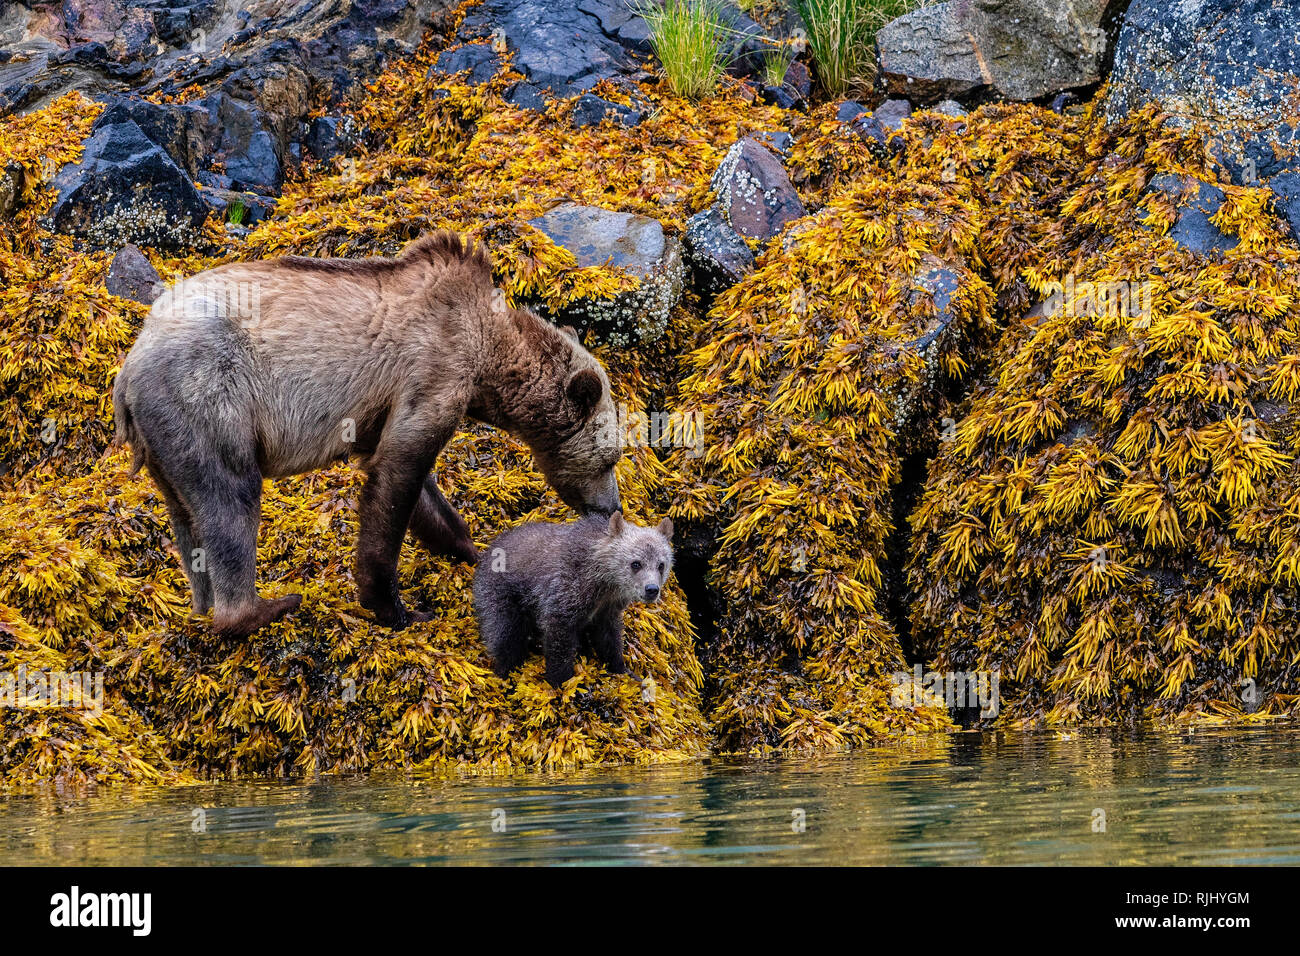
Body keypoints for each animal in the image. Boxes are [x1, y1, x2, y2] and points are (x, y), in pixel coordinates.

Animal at [112, 231, 623, 638]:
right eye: (612, 457)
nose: (610, 507)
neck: (488, 354)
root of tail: (128, 370)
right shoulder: (432, 370)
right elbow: (397, 476)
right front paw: (397, 607)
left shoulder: (387, 411)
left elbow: (420, 492)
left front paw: (474, 550)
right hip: (209, 400)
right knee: (230, 499)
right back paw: (267, 606)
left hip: (165, 444)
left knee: (188, 520)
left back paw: (200, 605)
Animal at [472, 511, 674, 686]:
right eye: (636, 563)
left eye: (661, 565)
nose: (651, 589)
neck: (603, 580)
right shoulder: (566, 591)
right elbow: (559, 636)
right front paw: (562, 680)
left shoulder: (607, 607)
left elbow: (609, 637)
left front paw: (623, 669)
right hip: (503, 593)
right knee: (505, 634)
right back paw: (506, 672)